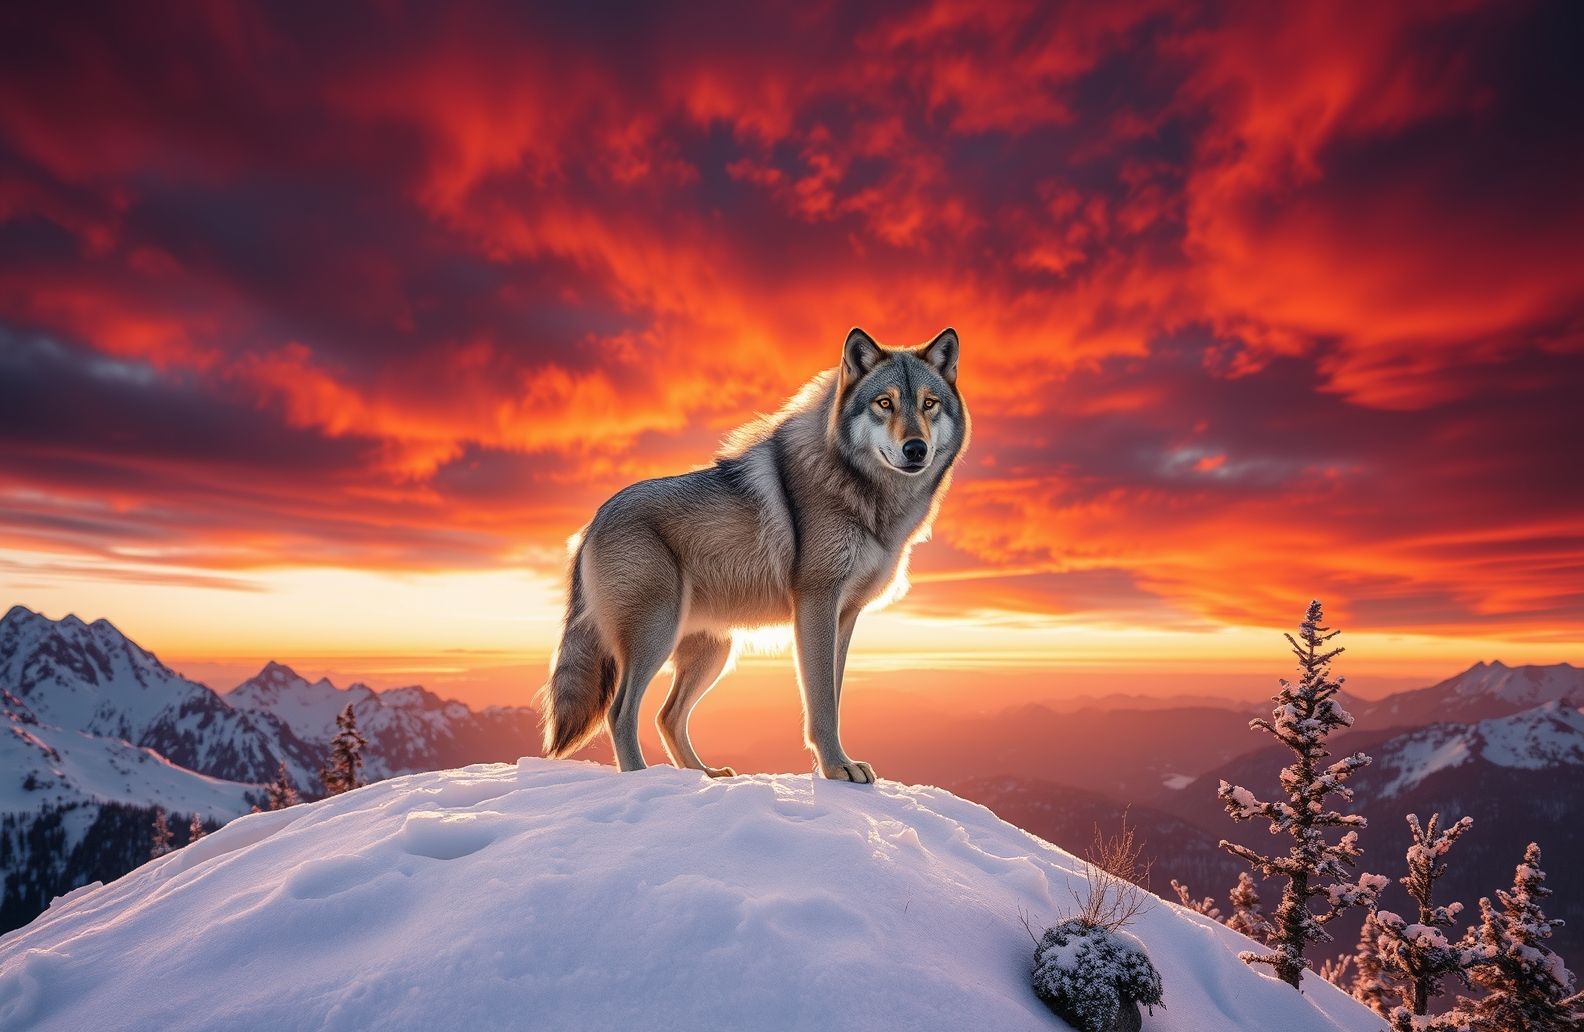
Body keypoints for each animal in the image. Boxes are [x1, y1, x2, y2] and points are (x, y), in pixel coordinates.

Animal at [537, 327, 968, 783]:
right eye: (884, 403)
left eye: (929, 403)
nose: (916, 448)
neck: (865, 493)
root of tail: (591, 524)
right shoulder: (816, 605)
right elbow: (821, 704)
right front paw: (836, 769)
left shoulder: (846, 615)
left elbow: (833, 700)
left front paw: (836, 765)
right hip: (657, 636)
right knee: (621, 713)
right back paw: (642, 779)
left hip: (713, 652)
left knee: (667, 716)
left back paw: (705, 775)